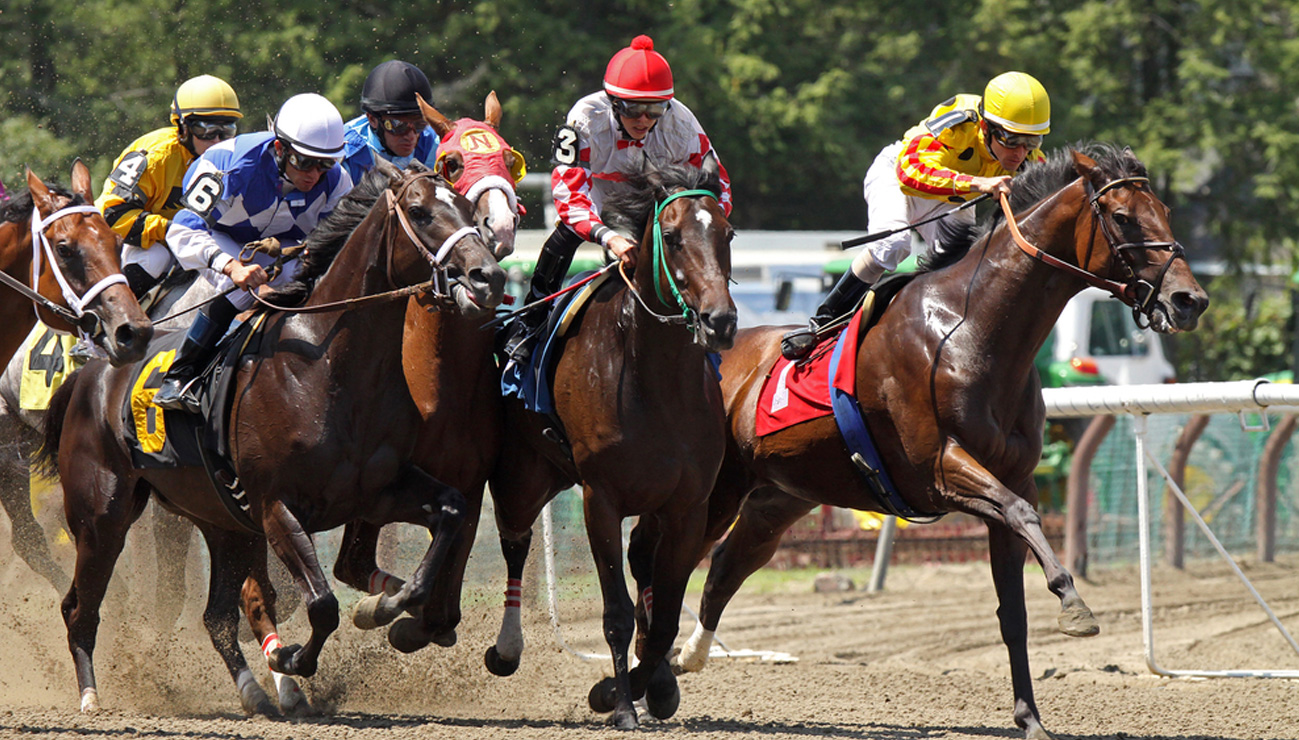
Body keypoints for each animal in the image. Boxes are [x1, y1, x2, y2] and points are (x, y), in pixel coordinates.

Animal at [37, 163, 506, 716]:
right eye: (419, 212)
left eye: (470, 209)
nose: (488, 276)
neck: (326, 367)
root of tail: (90, 374)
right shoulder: (275, 506)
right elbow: (322, 604)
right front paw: (291, 659)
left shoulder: (379, 491)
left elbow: (450, 515)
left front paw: (386, 605)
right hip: (102, 518)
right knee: (78, 607)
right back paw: (92, 695)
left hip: (220, 521)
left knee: (217, 616)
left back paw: (256, 691)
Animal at [474, 160, 736, 729]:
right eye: (673, 238)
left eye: (727, 234)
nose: (721, 321)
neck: (658, 384)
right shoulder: (601, 499)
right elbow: (615, 612)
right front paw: (618, 703)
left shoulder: (687, 507)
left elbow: (664, 621)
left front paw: (646, 686)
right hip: (524, 477)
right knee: (515, 541)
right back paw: (506, 648)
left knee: (642, 567)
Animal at [671, 144, 1209, 740]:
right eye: (1122, 217)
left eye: (1164, 209)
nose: (1190, 300)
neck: (970, 329)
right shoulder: (937, 470)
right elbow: (1021, 513)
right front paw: (1074, 605)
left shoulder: (1012, 475)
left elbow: (1013, 606)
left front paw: (1030, 717)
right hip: (716, 491)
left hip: (781, 496)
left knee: (725, 565)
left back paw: (685, 658)